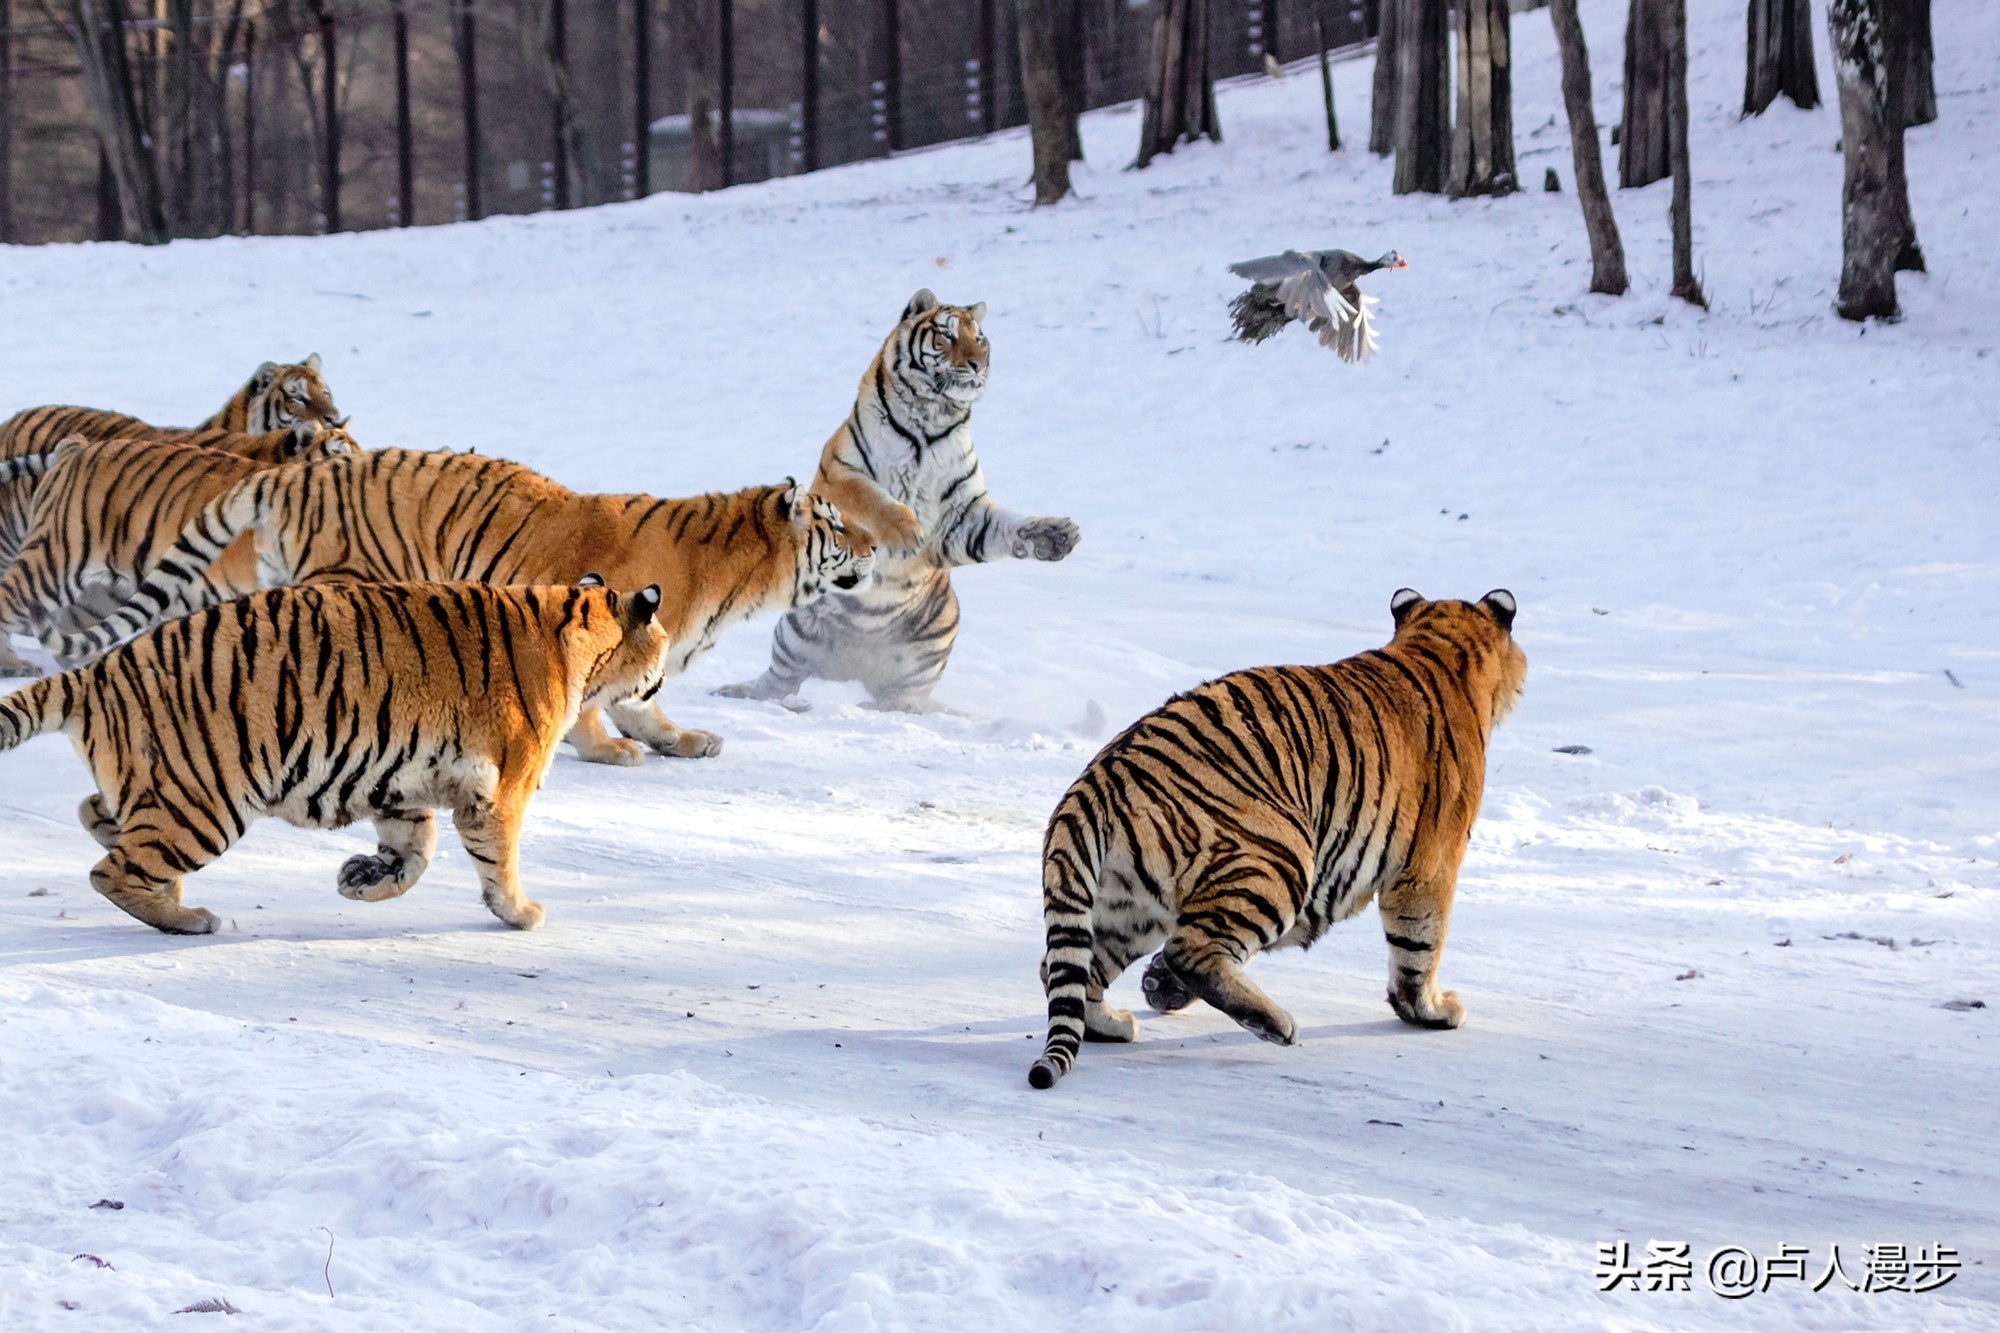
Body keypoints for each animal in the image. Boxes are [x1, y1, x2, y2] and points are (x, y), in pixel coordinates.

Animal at [0, 578, 669, 935]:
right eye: (661, 644)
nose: (663, 676)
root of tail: (98, 671)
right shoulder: (502, 787)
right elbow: (497, 859)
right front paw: (520, 914)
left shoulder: (404, 781)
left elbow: (415, 853)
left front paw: (363, 880)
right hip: (202, 805)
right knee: (111, 871)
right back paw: (190, 919)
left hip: (157, 790)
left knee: (96, 816)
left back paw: (160, 885)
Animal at [42, 447, 873, 765]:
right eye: (836, 524)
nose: (877, 544)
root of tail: (292, 474)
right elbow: (602, 702)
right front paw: (609, 749)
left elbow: (643, 702)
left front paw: (681, 739)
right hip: (343, 581)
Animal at [718, 290, 1079, 712]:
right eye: (948, 335)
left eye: (980, 338)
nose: (978, 364)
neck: (933, 419)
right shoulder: (841, 475)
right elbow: (877, 500)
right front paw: (906, 534)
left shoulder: (962, 516)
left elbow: (1006, 528)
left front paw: (1055, 537)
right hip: (795, 628)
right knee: (779, 680)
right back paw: (738, 693)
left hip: (924, 654)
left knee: (898, 701)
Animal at [1028, 588, 1526, 1089]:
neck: (1435, 649)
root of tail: (1101, 778)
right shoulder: (1429, 866)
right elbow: (1420, 946)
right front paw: (1431, 1012)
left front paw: (1160, 988)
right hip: (1280, 858)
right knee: (1190, 950)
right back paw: (1277, 1024)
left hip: (1128, 908)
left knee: (1066, 968)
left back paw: (1112, 1024)